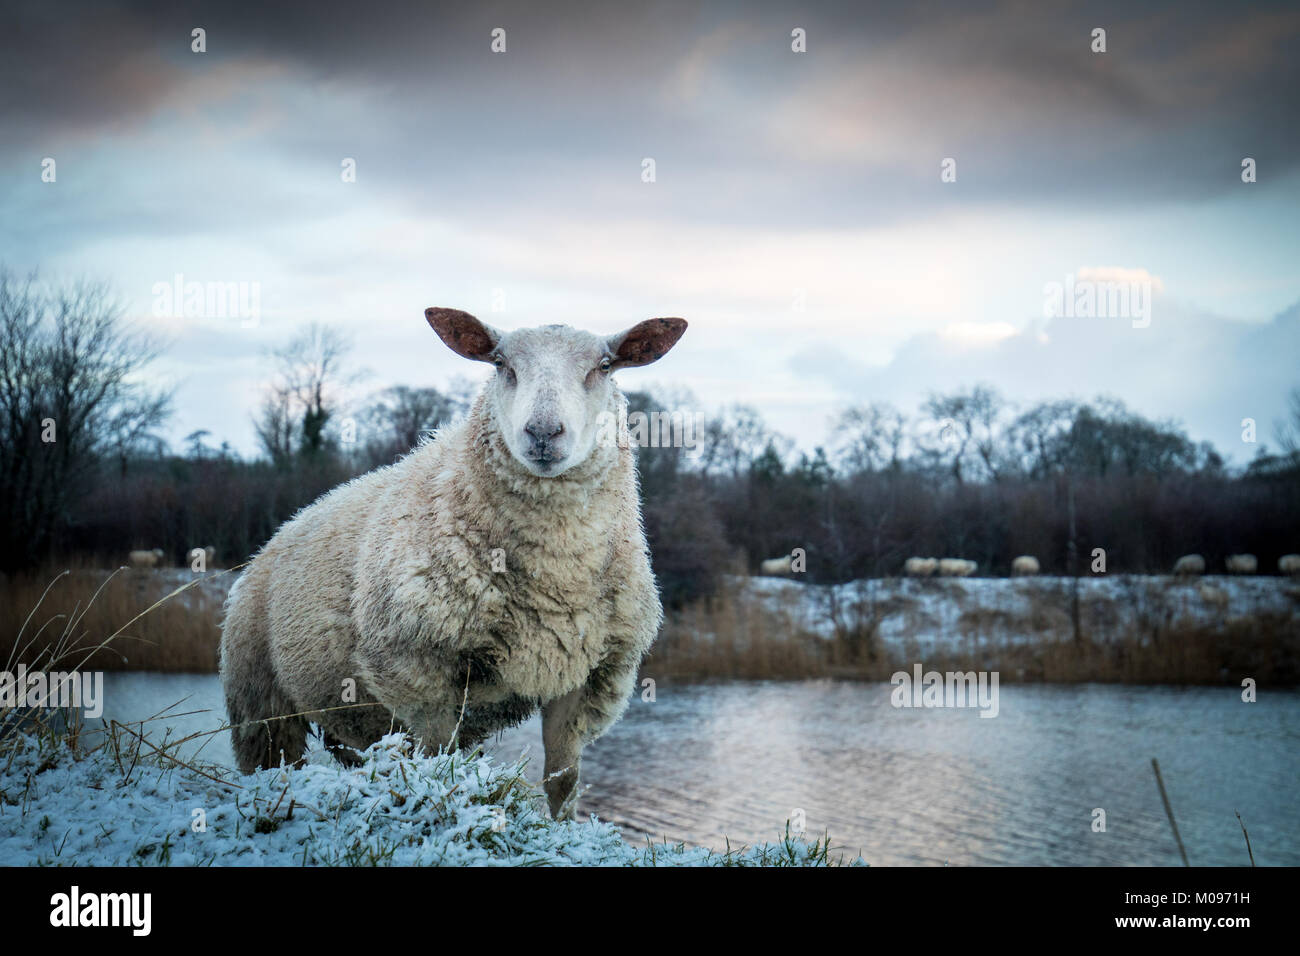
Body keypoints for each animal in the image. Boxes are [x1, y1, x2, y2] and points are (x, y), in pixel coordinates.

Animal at [220, 307, 687, 821]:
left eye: (604, 366)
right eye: (502, 364)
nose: (544, 433)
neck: (557, 576)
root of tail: (281, 531)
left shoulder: (589, 680)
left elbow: (563, 783)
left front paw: (565, 828)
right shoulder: (416, 674)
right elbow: (436, 761)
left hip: (349, 717)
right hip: (259, 702)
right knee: (271, 760)